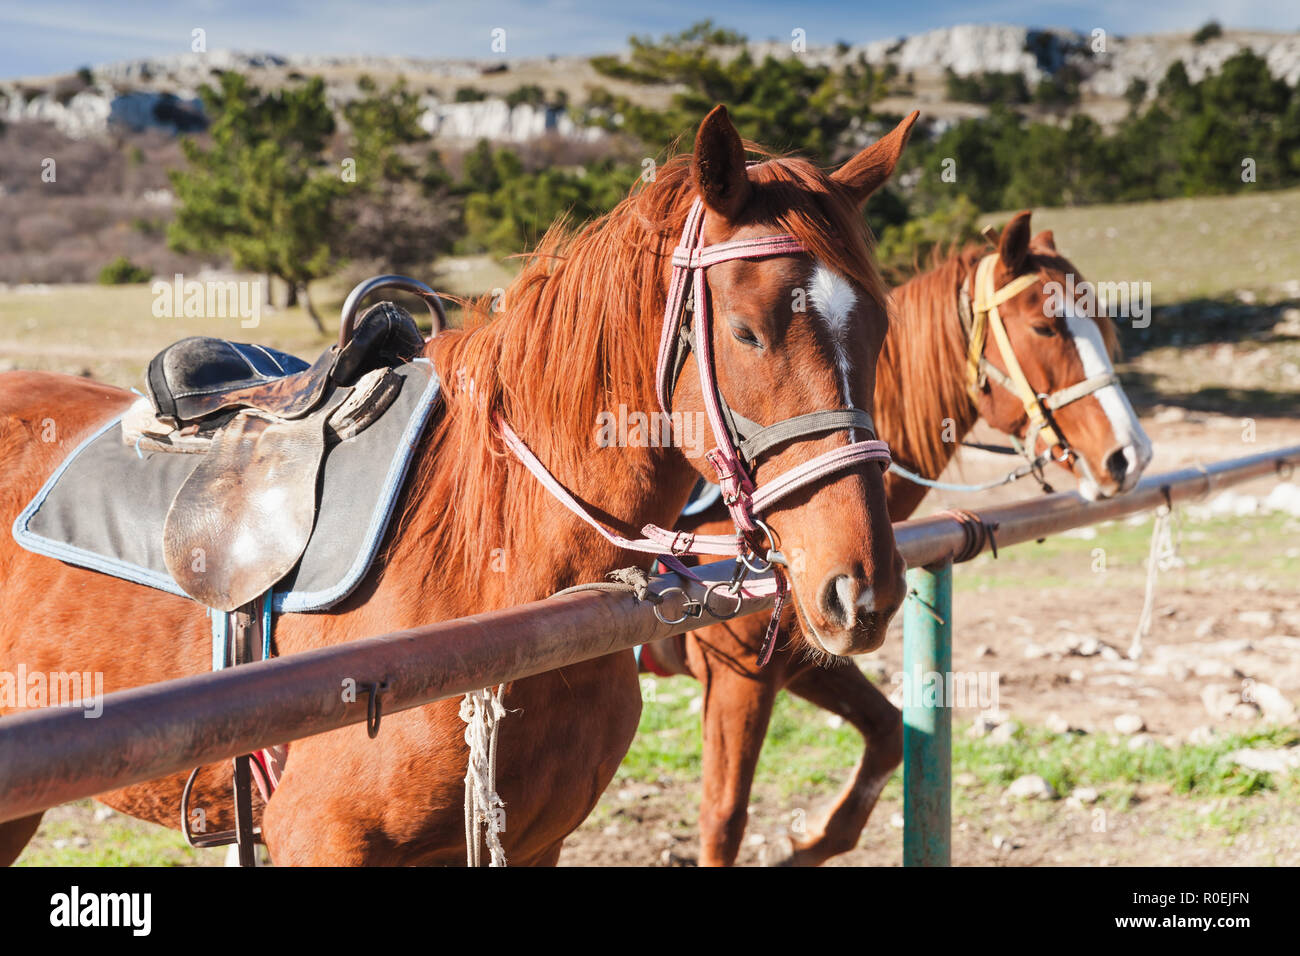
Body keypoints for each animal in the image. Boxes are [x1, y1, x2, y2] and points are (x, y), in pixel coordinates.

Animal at [0, 105, 918, 866]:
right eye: (747, 331)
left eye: (881, 327)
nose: (861, 589)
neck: (493, 579)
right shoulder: (318, 842)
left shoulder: (537, 842)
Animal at [641, 213, 1154, 866]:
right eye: (1045, 326)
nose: (1130, 455)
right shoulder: (739, 679)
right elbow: (722, 820)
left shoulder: (808, 656)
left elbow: (889, 736)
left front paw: (802, 846)